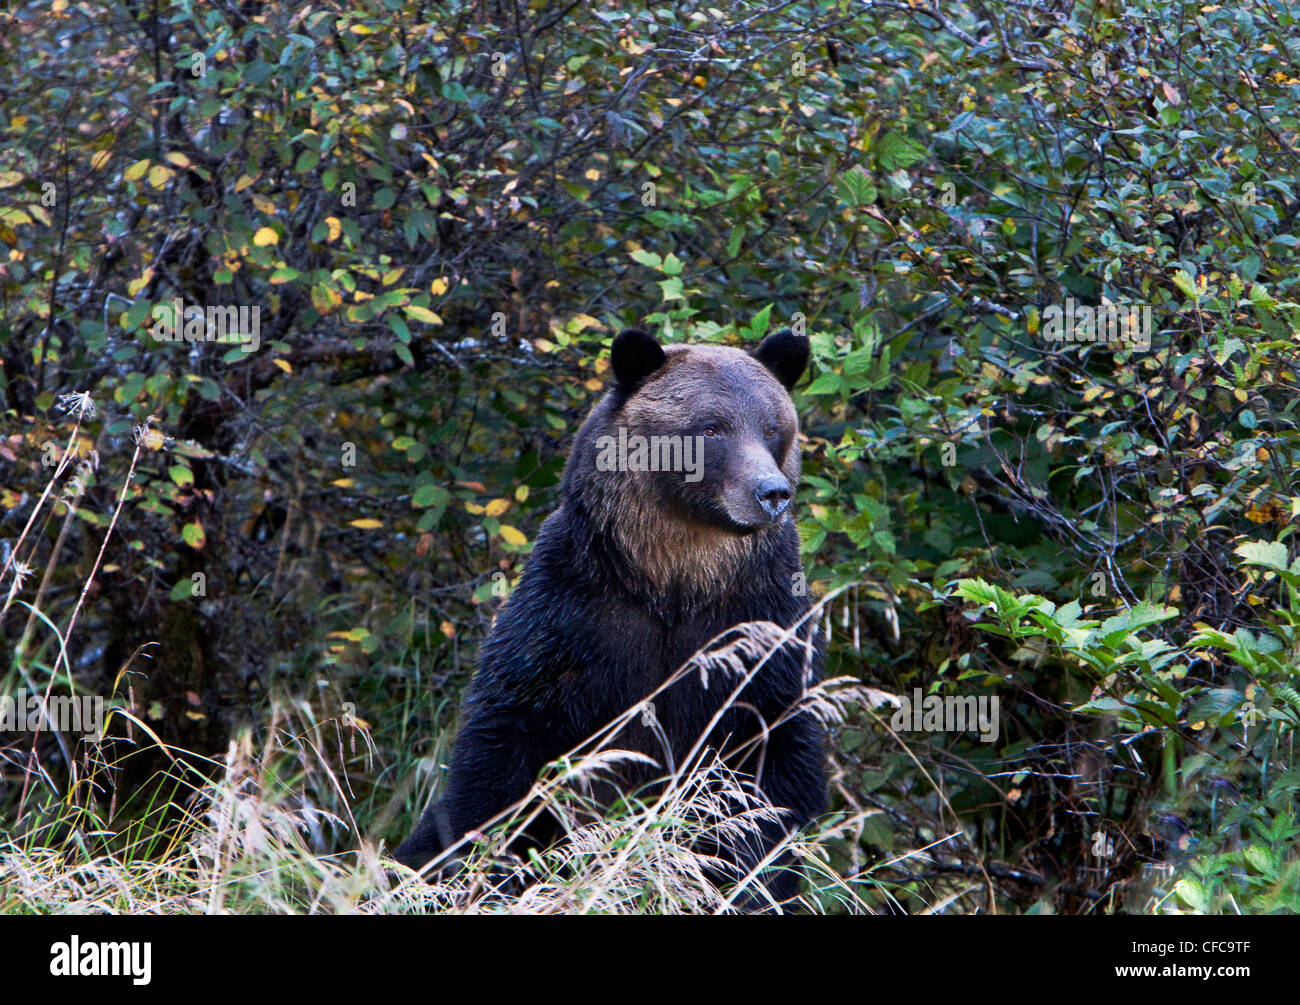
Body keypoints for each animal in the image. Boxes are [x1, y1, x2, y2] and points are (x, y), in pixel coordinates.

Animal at [393, 326, 827, 907]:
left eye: (773, 426)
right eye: (712, 426)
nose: (771, 492)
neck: (674, 579)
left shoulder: (761, 624)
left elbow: (773, 767)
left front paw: (752, 880)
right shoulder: (572, 617)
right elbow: (502, 753)